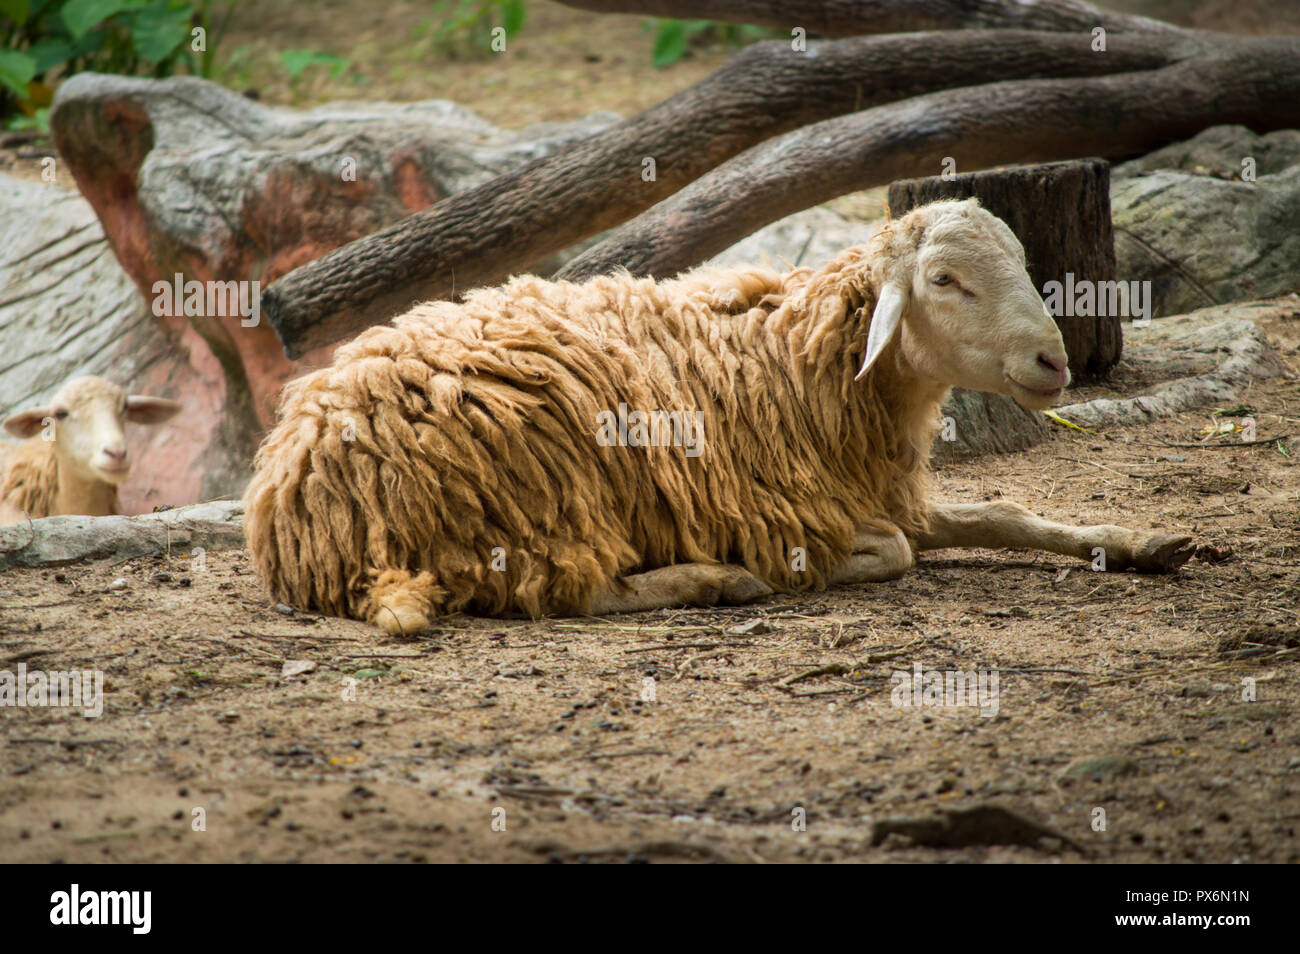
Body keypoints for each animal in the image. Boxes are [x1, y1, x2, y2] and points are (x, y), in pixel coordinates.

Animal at [244, 197, 1194, 635]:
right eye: (943, 279)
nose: (1053, 363)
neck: (800, 358)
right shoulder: (796, 508)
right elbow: (889, 551)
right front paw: (797, 569)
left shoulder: (874, 489)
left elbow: (1007, 510)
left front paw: (1142, 542)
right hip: (540, 498)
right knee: (568, 591)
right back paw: (717, 580)